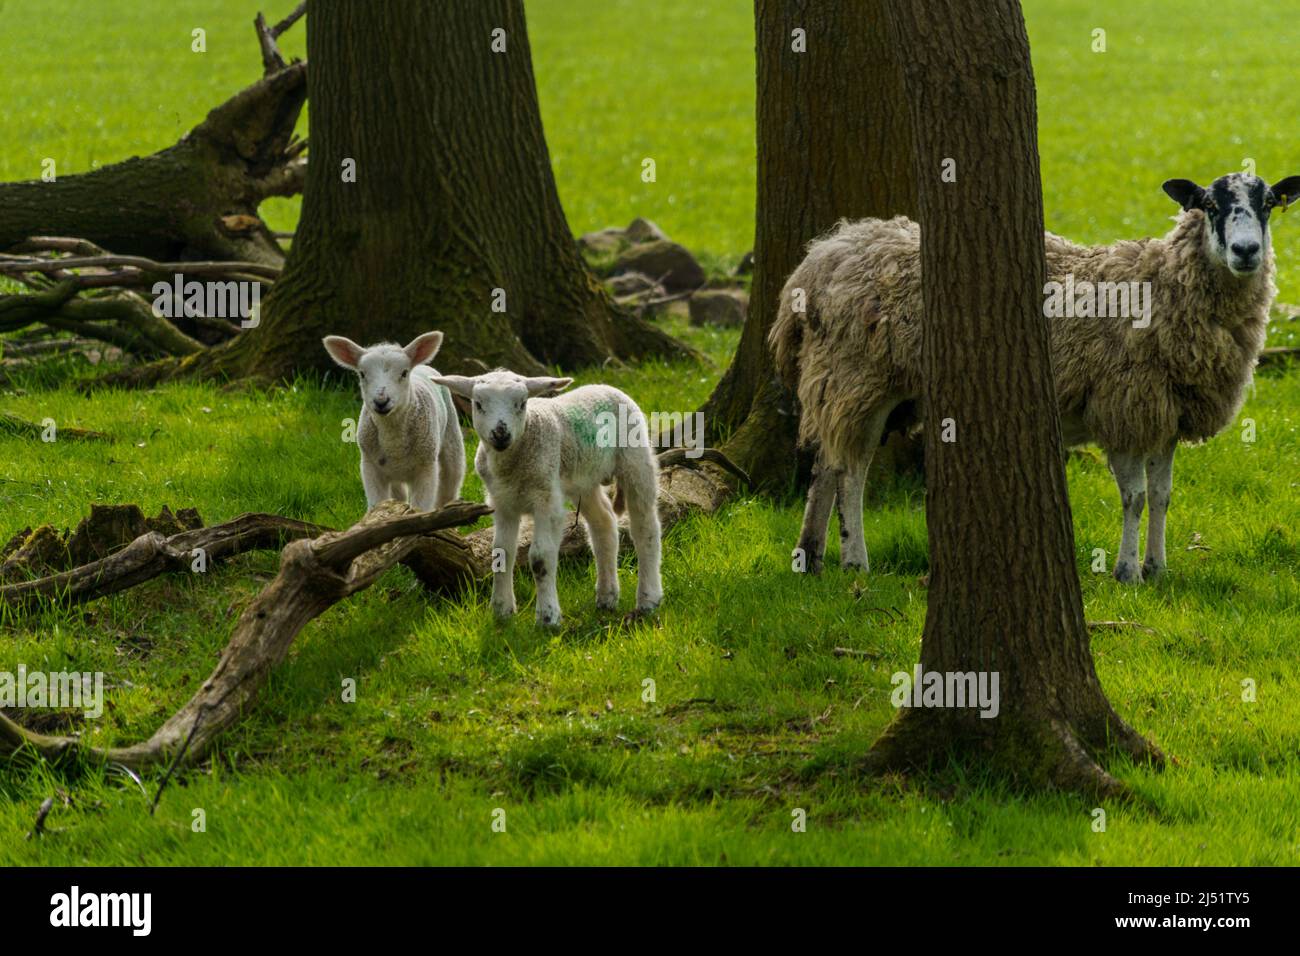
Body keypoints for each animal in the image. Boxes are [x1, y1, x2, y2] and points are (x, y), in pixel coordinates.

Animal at [322, 331, 466, 512]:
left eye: (404, 373)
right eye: (362, 374)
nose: (381, 401)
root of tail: (422, 366)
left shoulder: (426, 468)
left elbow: (420, 507)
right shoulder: (370, 466)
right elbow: (377, 505)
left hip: (451, 437)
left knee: (450, 483)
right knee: (399, 496)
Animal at [429, 370, 663, 626]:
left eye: (522, 404)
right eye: (478, 404)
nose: (501, 434)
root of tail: (605, 386)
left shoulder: (546, 500)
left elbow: (540, 558)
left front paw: (548, 617)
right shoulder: (502, 503)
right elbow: (501, 553)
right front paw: (501, 611)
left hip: (635, 460)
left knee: (645, 528)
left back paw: (648, 599)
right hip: (583, 479)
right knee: (603, 523)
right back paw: (607, 596)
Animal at [770, 171, 1300, 582]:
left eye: (1268, 204)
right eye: (1210, 205)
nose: (1246, 251)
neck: (1162, 285)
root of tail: (819, 260)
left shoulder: (1164, 416)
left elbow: (1163, 495)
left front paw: (1157, 568)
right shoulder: (1123, 407)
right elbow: (1134, 498)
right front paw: (1127, 571)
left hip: (845, 381)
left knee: (826, 464)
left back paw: (810, 556)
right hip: (859, 377)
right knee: (851, 472)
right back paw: (854, 561)